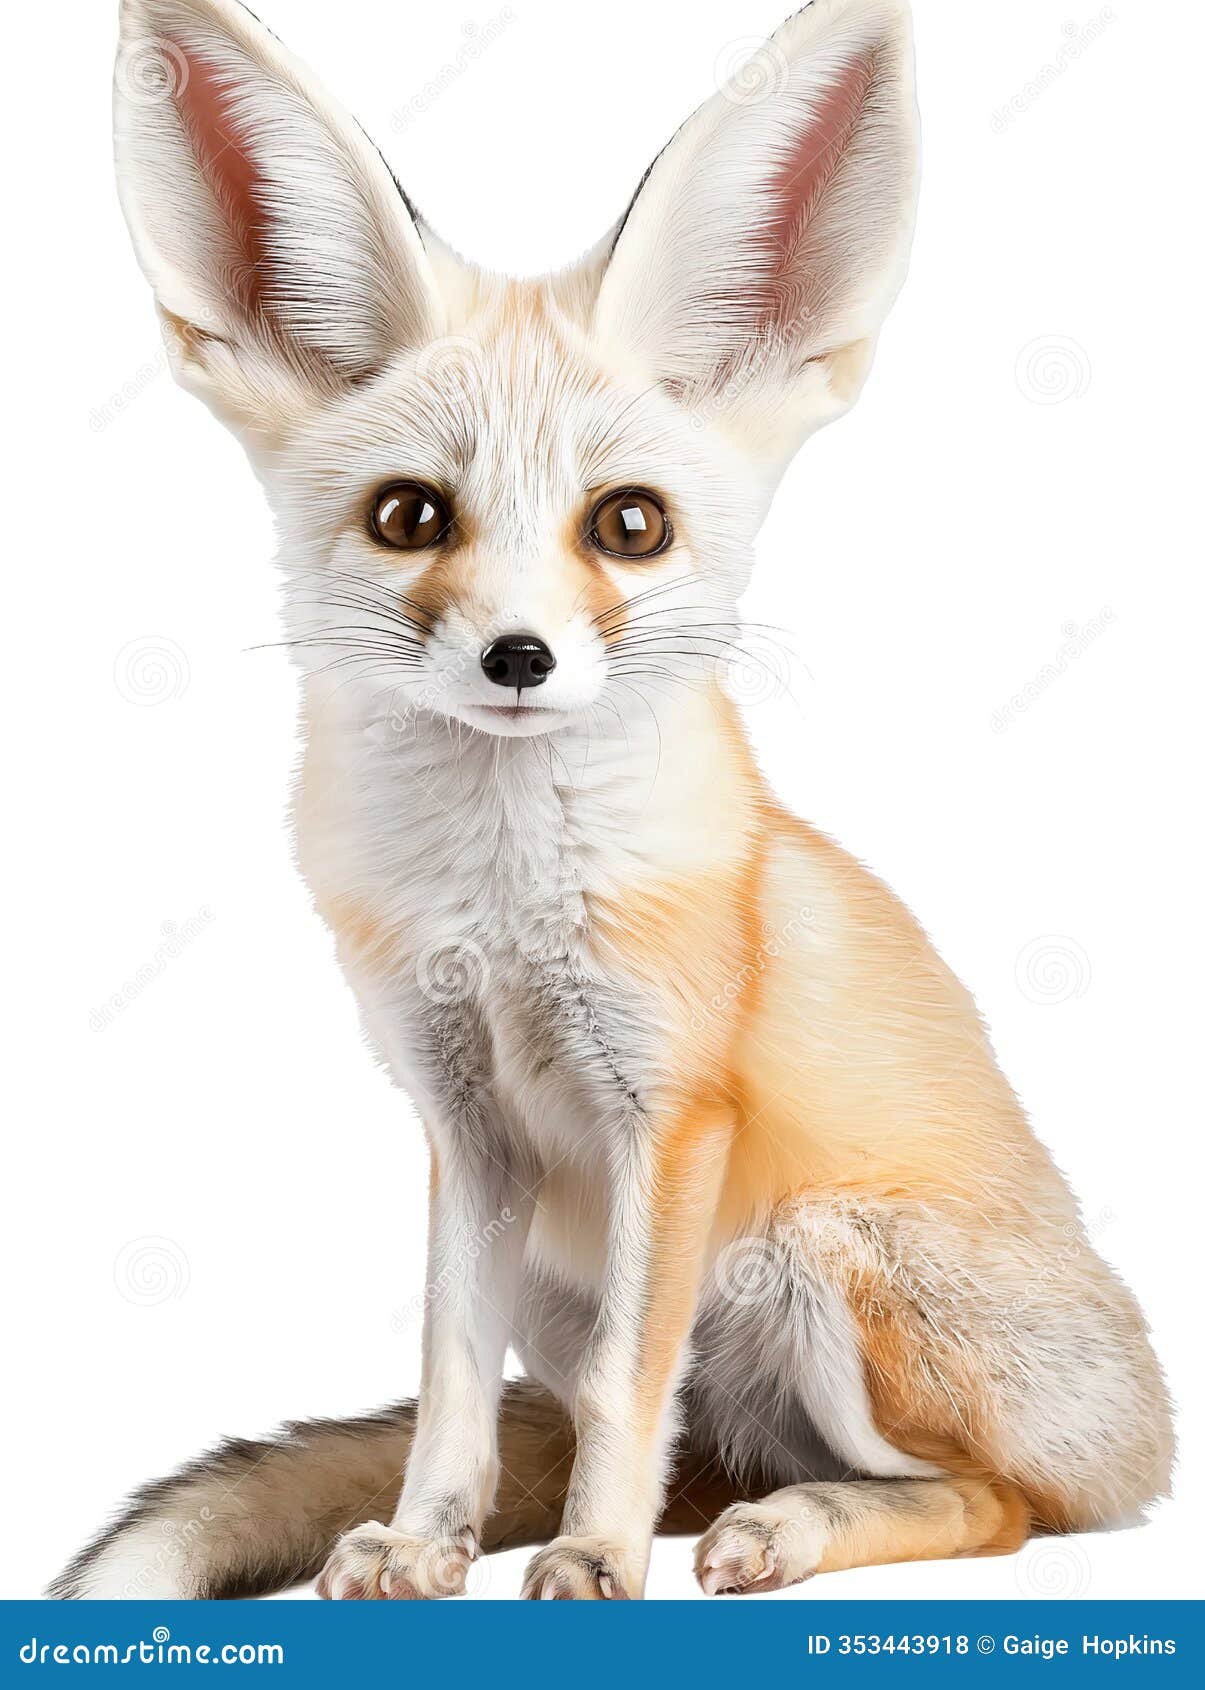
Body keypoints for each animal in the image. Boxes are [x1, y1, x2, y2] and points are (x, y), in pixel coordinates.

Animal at [51, 0, 1171, 1601]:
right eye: (410, 516)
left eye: (627, 525)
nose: (519, 656)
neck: (505, 909)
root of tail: (1148, 1443)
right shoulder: (464, 1129)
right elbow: (456, 1383)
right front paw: (427, 1537)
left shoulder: (671, 1111)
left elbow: (625, 1395)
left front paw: (590, 1554)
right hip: (576, 1292)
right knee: (705, 1451)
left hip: (824, 1260)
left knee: (993, 1502)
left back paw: (790, 1527)